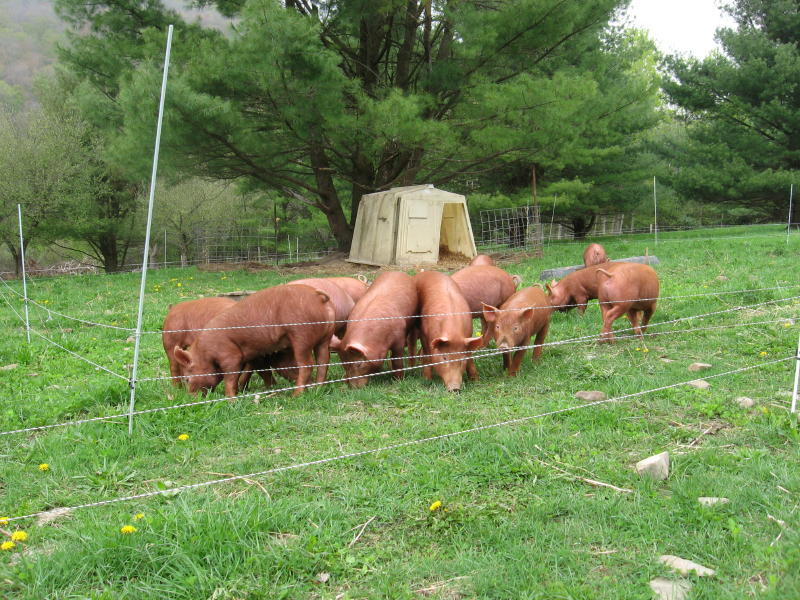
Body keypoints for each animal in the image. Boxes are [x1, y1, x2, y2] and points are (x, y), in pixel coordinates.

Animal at [172, 284, 335, 397]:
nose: (191, 398)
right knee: (323, 361)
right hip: (325, 336)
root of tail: (317, 296)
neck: (205, 353)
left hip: (301, 335)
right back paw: (318, 388)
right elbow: (248, 374)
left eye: (187, 379)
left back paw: (295, 395)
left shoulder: (229, 355)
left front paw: (230, 399)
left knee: (307, 364)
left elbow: (230, 377)